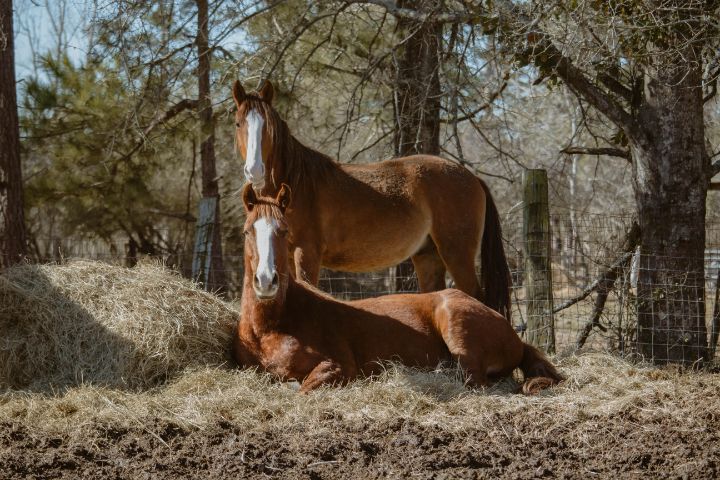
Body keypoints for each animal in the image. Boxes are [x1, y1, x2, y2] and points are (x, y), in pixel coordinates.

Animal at [231, 80, 513, 321]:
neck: (297, 183)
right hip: (428, 256)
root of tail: (472, 177)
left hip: (457, 254)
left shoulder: (306, 254)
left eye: (267, 126)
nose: (254, 170)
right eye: (237, 123)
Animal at [234, 183, 563, 394]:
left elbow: (300, 389)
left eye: (284, 231)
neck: (272, 326)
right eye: (247, 231)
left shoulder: (338, 367)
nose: (266, 280)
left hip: (458, 332)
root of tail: (513, 334)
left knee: (478, 383)